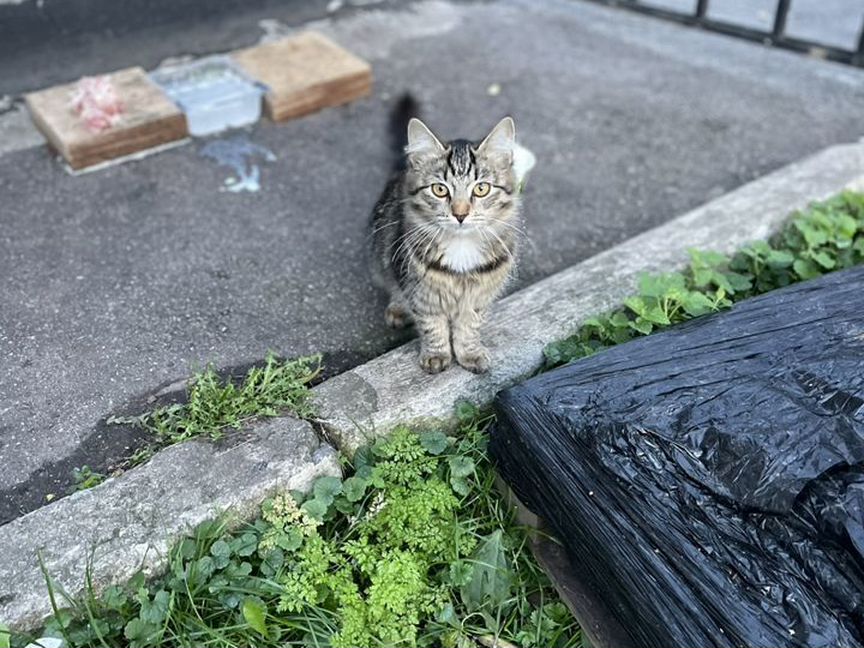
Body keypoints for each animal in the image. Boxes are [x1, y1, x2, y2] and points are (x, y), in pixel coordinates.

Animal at [370, 101, 520, 374]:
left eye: (481, 188)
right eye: (440, 190)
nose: (460, 214)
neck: (461, 247)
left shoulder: (479, 296)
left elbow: (469, 327)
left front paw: (469, 354)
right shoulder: (421, 292)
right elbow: (433, 326)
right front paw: (436, 355)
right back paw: (398, 310)